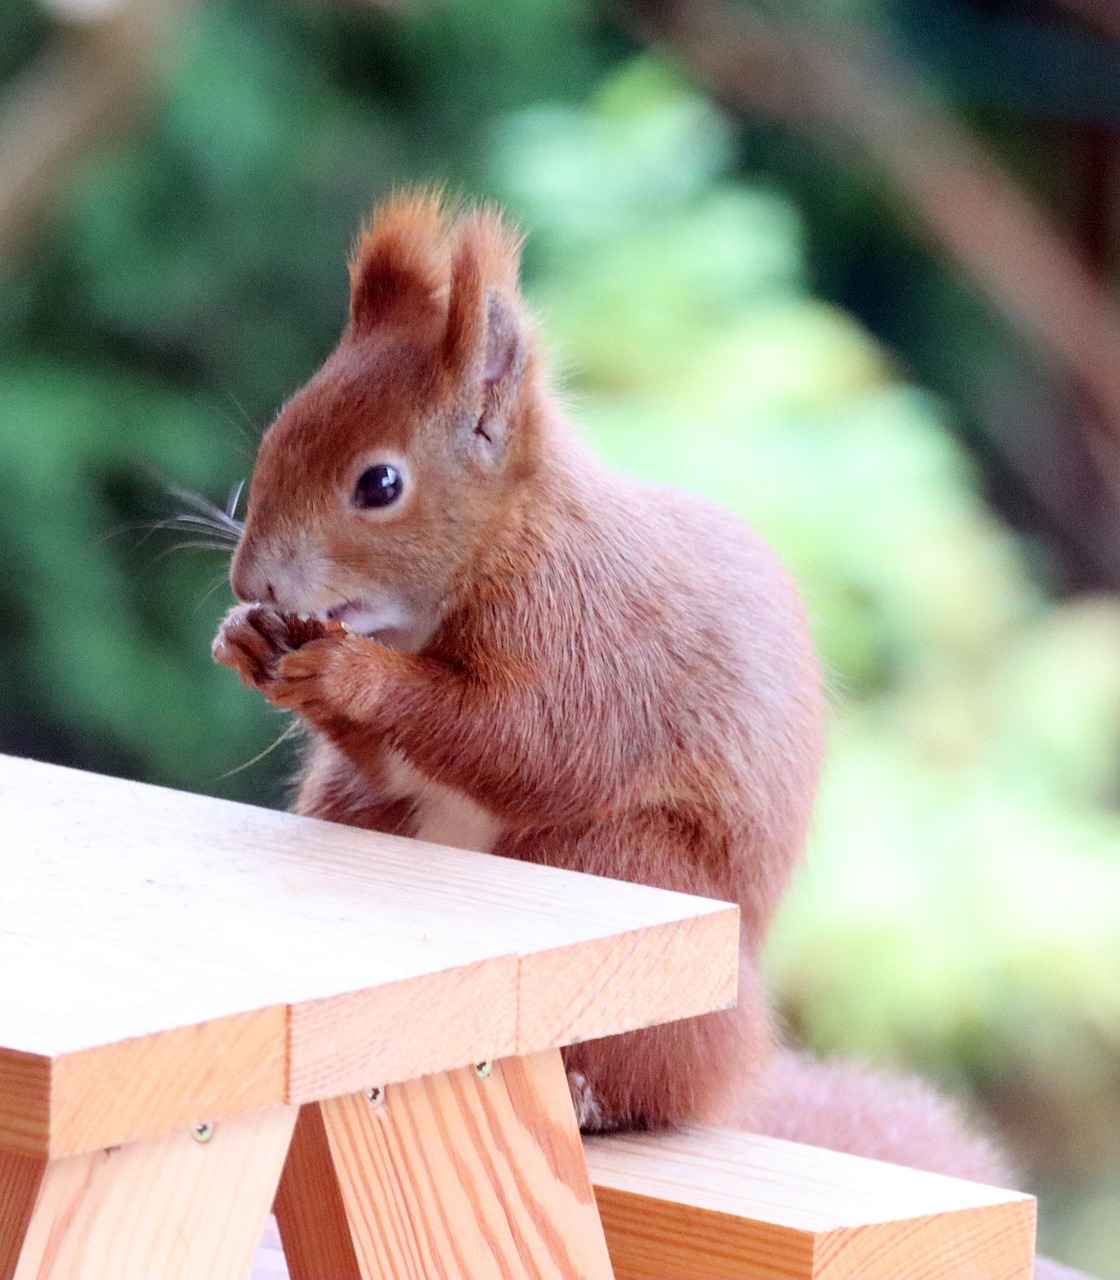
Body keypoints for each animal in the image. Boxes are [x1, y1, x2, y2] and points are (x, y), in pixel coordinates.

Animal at [211, 192, 1089, 1280]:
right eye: (279, 432)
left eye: (379, 484)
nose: (251, 580)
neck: (506, 546)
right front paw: (250, 641)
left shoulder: (590, 650)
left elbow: (520, 743)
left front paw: (350, 673)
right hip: (369, 809)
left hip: (625, 864)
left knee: (649, 1082)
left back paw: (592, 1100)